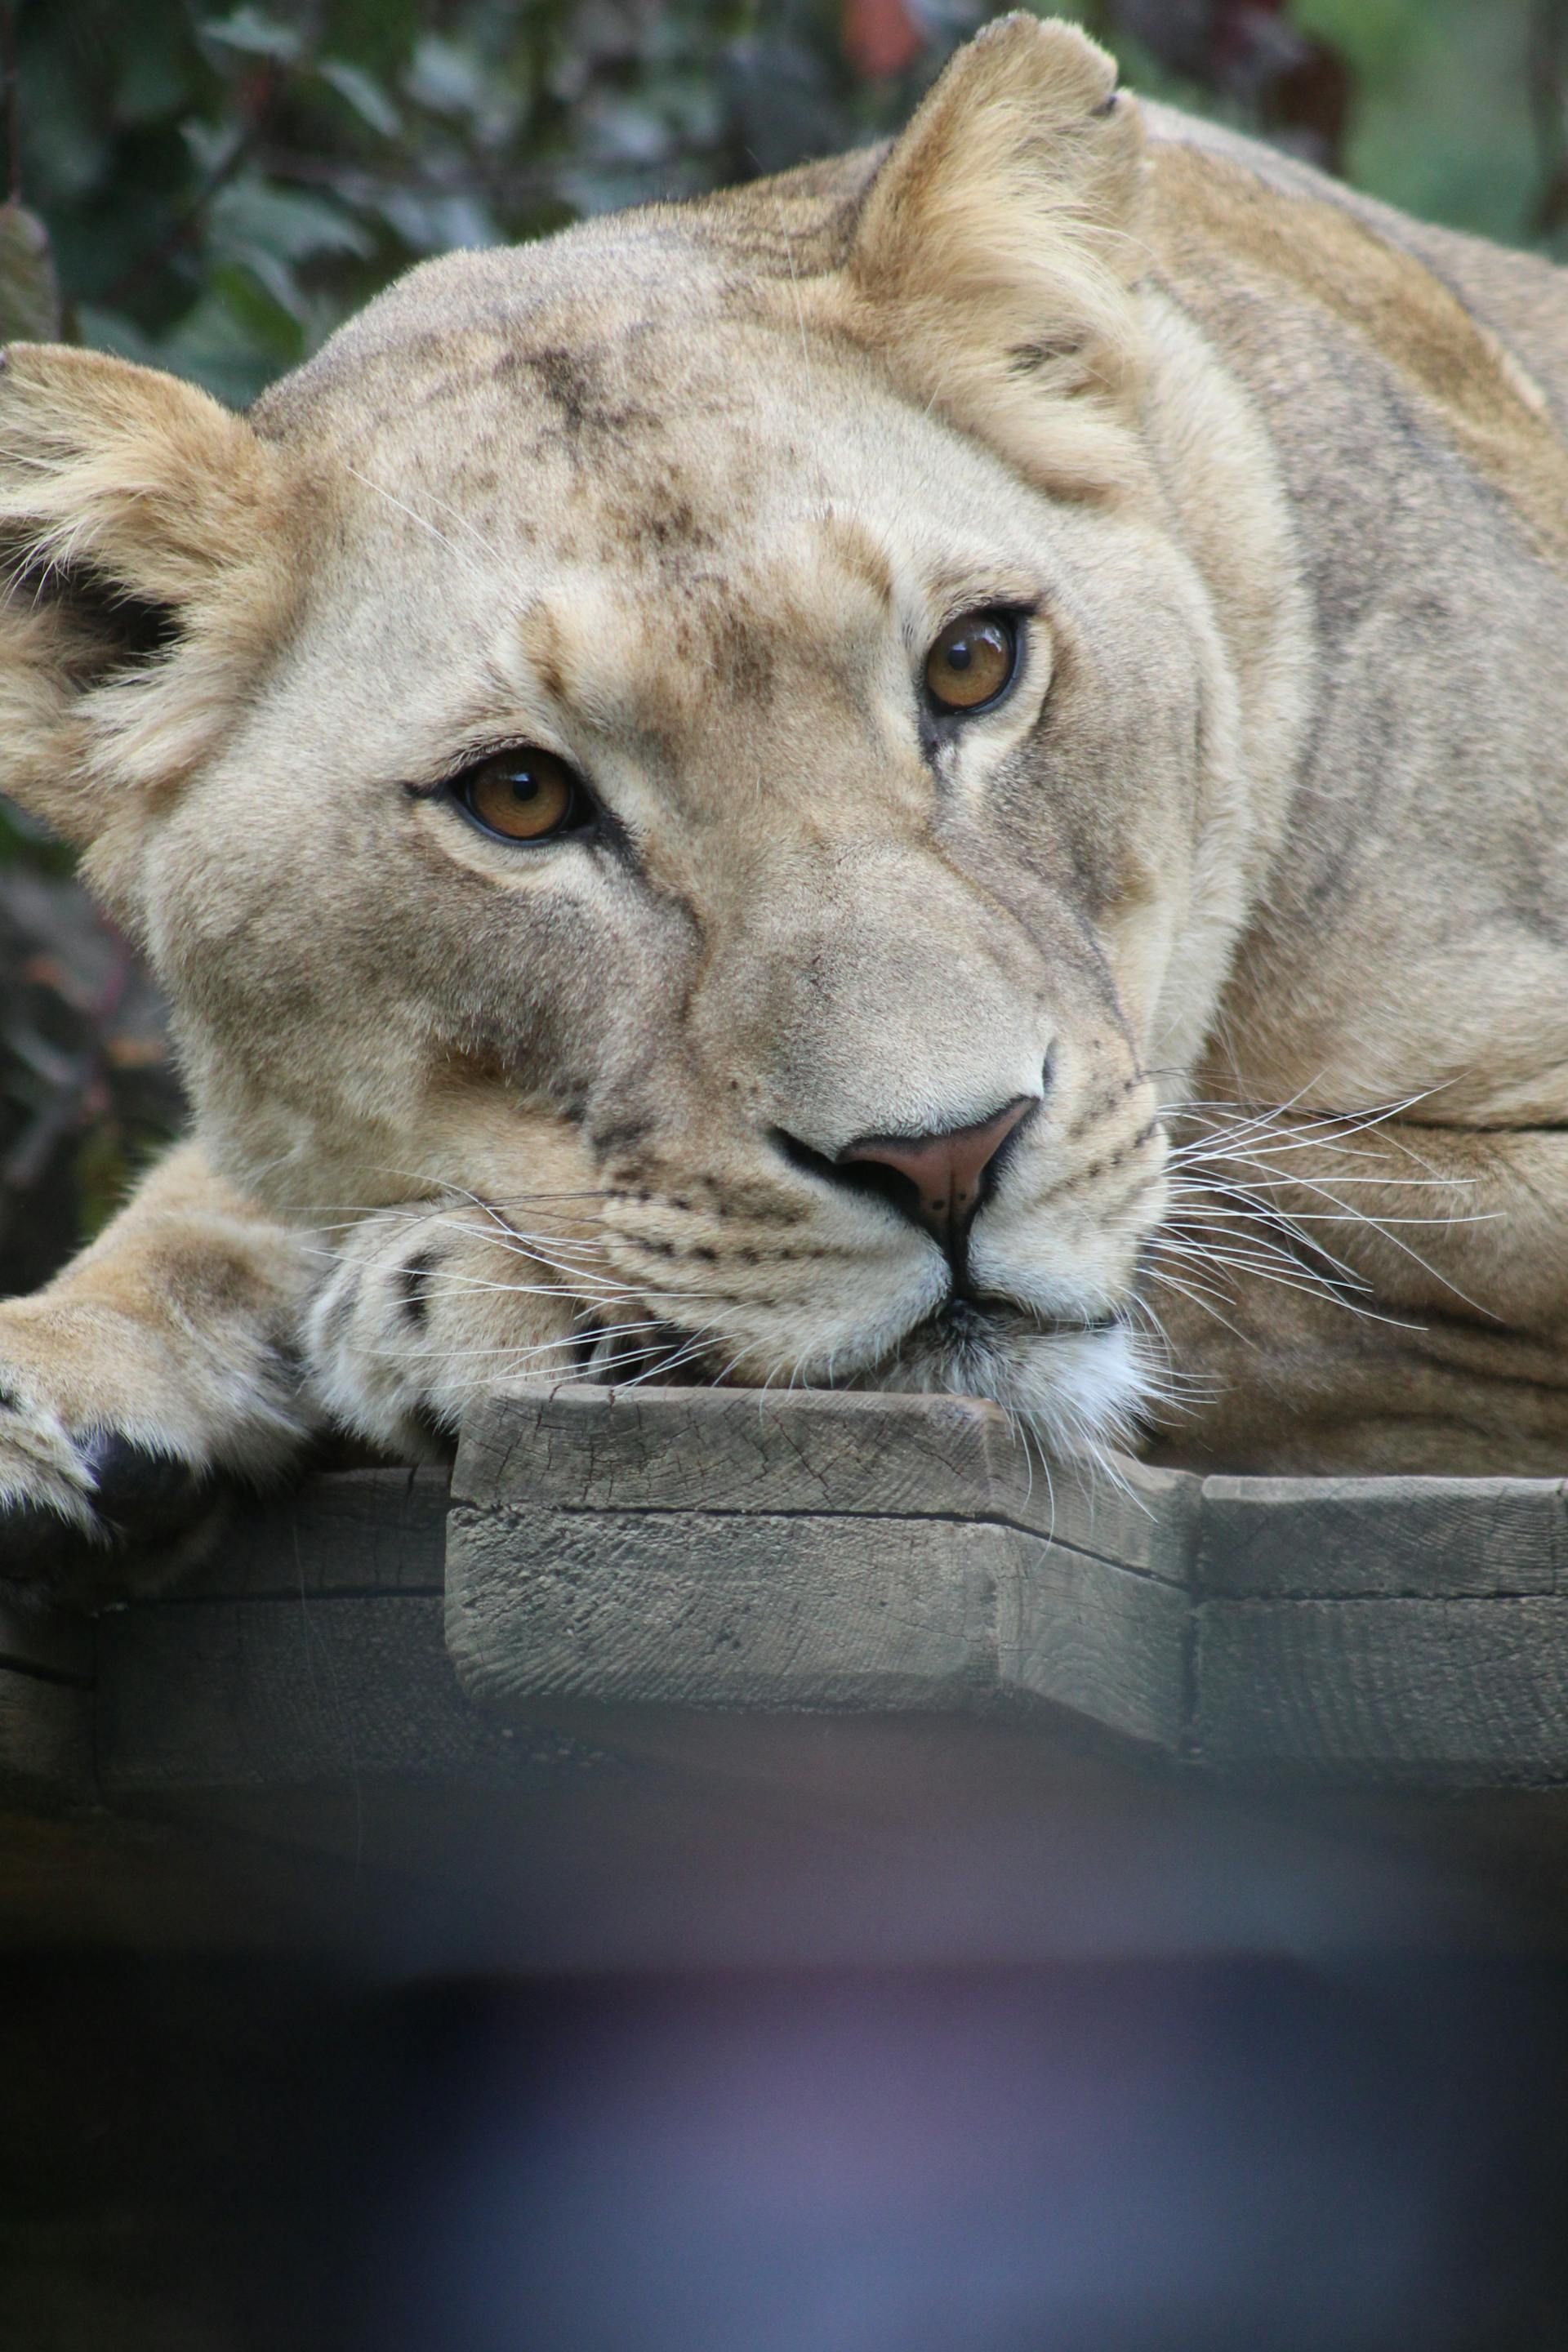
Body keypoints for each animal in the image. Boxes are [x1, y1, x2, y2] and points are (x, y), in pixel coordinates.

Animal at [4, 13, 1568, 1584]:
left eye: (972, 662)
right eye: (521, 796)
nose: (945, 1162)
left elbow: (1290, 1221)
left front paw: (482, 1293)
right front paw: (69, 1357)